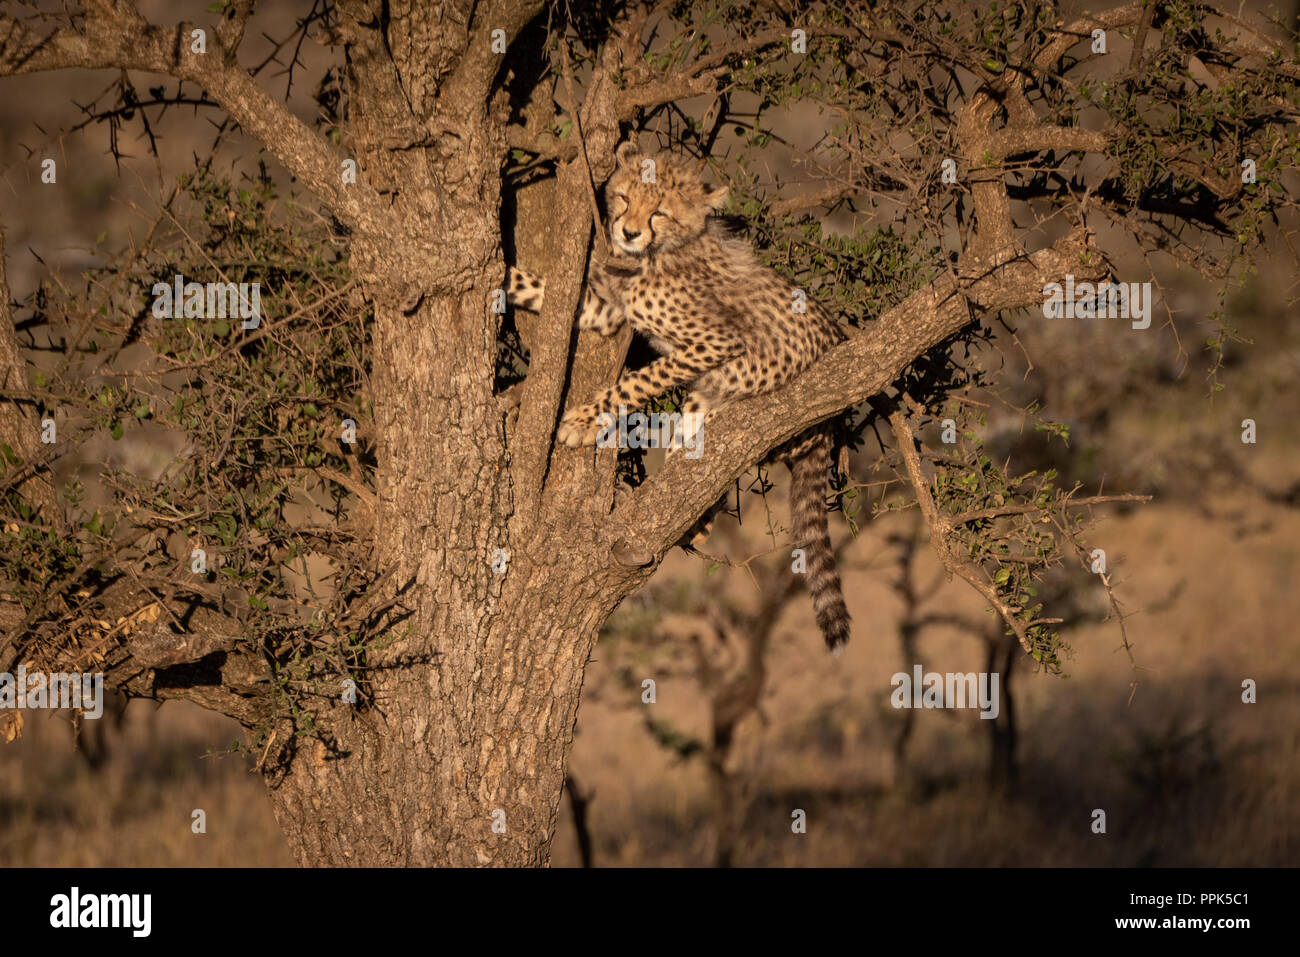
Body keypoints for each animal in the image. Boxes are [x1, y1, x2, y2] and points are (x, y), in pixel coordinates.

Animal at [507, 141, 851, 652]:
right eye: (626, 197)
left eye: (660, 213)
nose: (627, 232)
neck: (658, 253)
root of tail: (831, 429)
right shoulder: (609, 310)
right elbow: (543, 291)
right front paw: (497, 277)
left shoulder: (716, 342)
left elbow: (639, 381)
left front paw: (584, 421)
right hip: (700, 410)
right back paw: (691, 517)